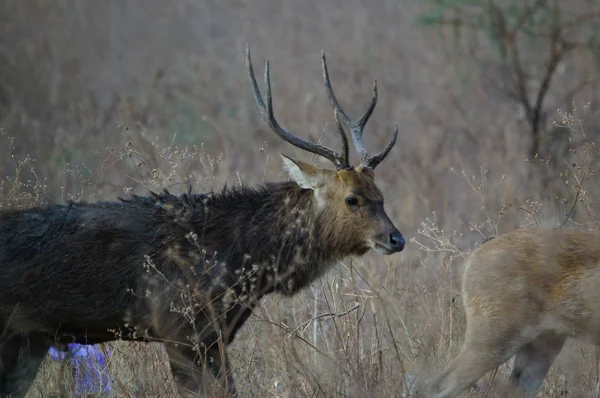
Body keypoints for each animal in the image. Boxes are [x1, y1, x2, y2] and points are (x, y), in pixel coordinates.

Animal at [0, 45, 404, 396]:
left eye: (381, 195)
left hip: (29, 339)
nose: (396, 238)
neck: (240, 260)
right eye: (352, 198)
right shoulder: (179, 328)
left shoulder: (215, 336)